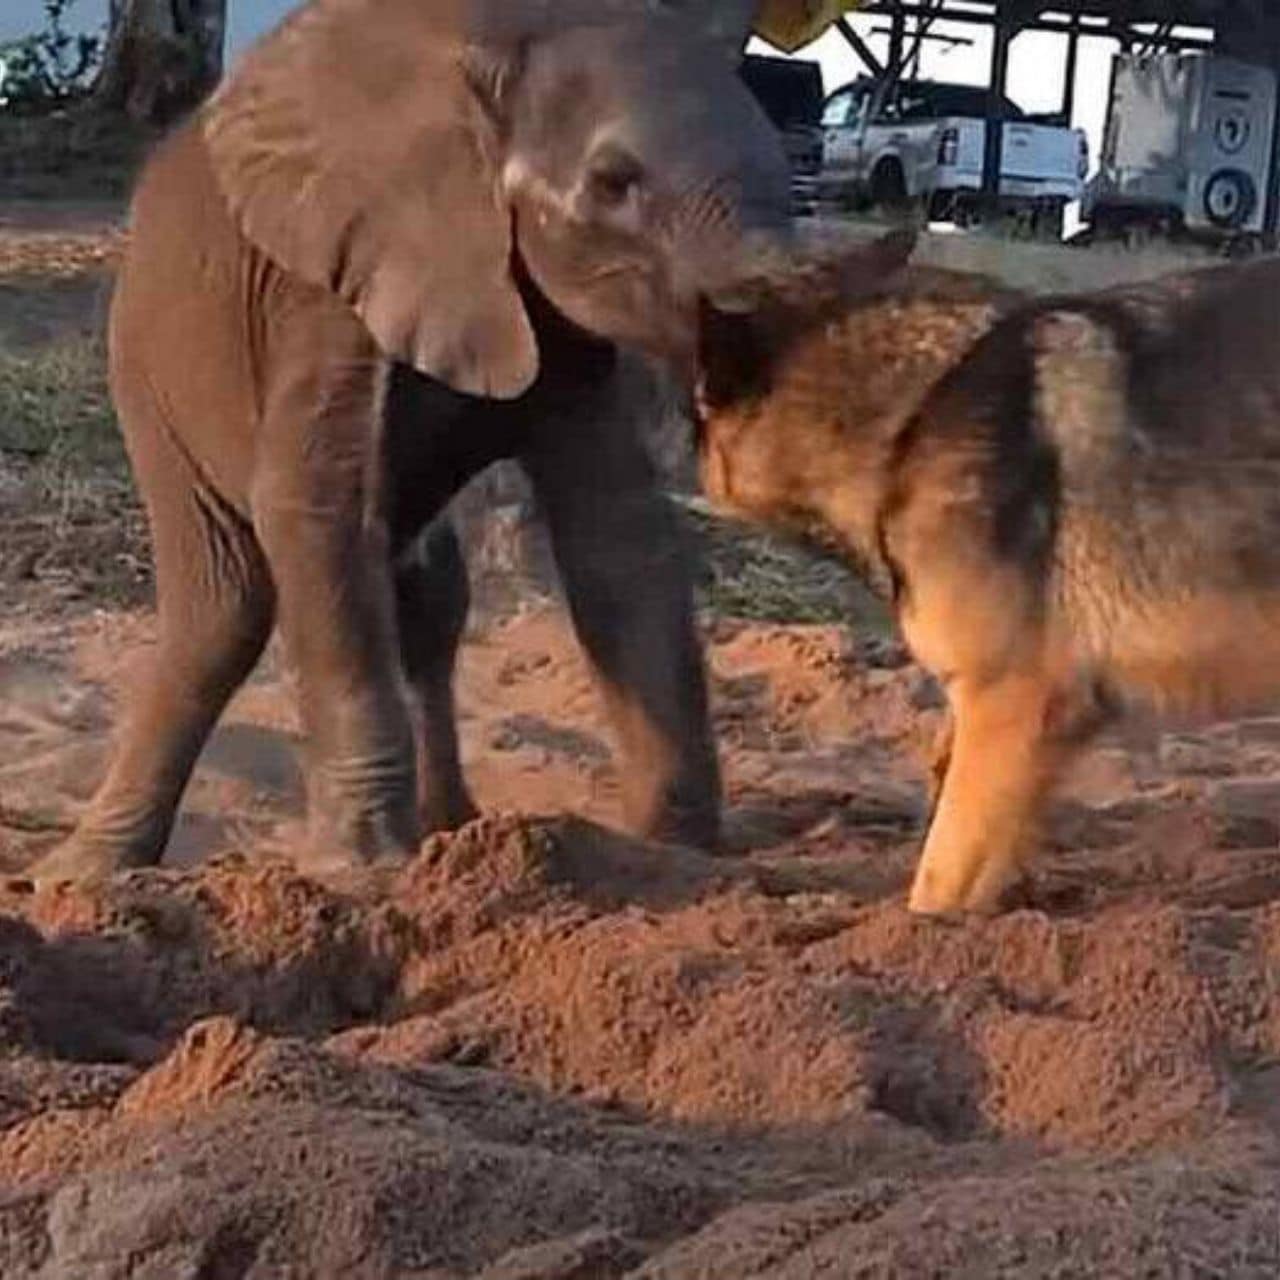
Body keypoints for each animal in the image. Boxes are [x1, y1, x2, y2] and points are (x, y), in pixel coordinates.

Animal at [29, 0, 793, 884]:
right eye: (613, 182)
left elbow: (616, 529)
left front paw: (671, 851)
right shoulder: (327, 284)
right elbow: (310, 509)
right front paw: (361, 870)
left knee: (428, 600)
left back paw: (453, 830)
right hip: (149, 379)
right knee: (226, 609)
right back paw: (89, 875)